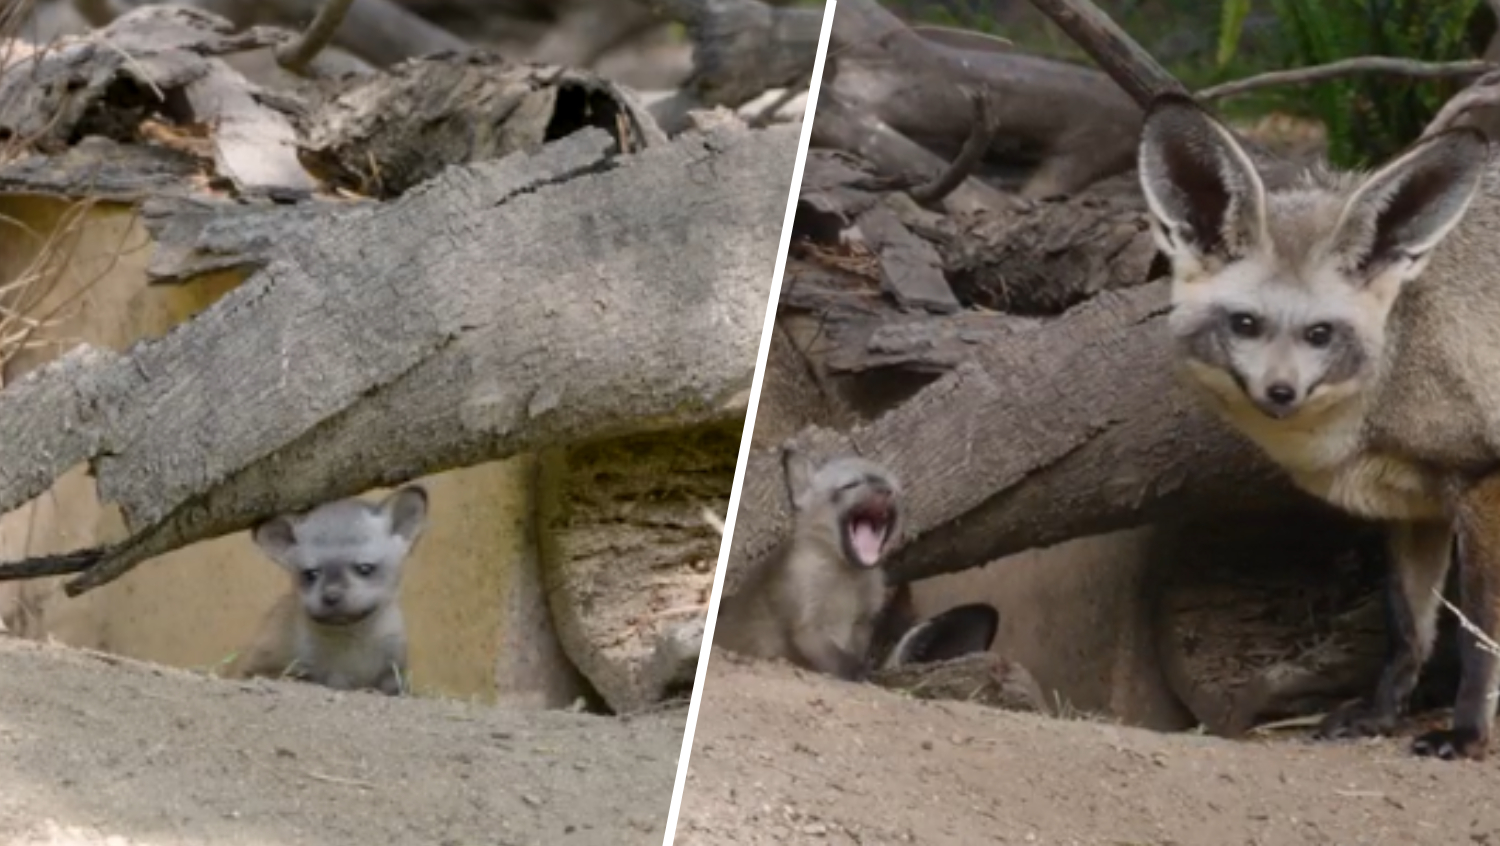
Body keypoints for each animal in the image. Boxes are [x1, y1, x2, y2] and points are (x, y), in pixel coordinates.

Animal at [224, 486, 430, 695]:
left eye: (364, 568)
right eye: (310, 573)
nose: (331, 596)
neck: (354, 650)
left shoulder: (393, 675)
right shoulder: (261, 665)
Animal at [714, 450, 902, 681]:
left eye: (893, 487)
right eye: (851, 484)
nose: (886, 491)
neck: (847, 579)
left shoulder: (864, 622)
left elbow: (855, 651)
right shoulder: (807, 626)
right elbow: (839, 660)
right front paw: (859, 671)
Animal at [1136, 91, 1500, 760]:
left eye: (1320, 334)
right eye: (1245, 324)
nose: (1281, 393)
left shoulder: (1479, 480)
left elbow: (1477, 634)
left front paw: (1465, 734)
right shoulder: (1414, 511)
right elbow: (1407, 628)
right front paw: (1379, 715)